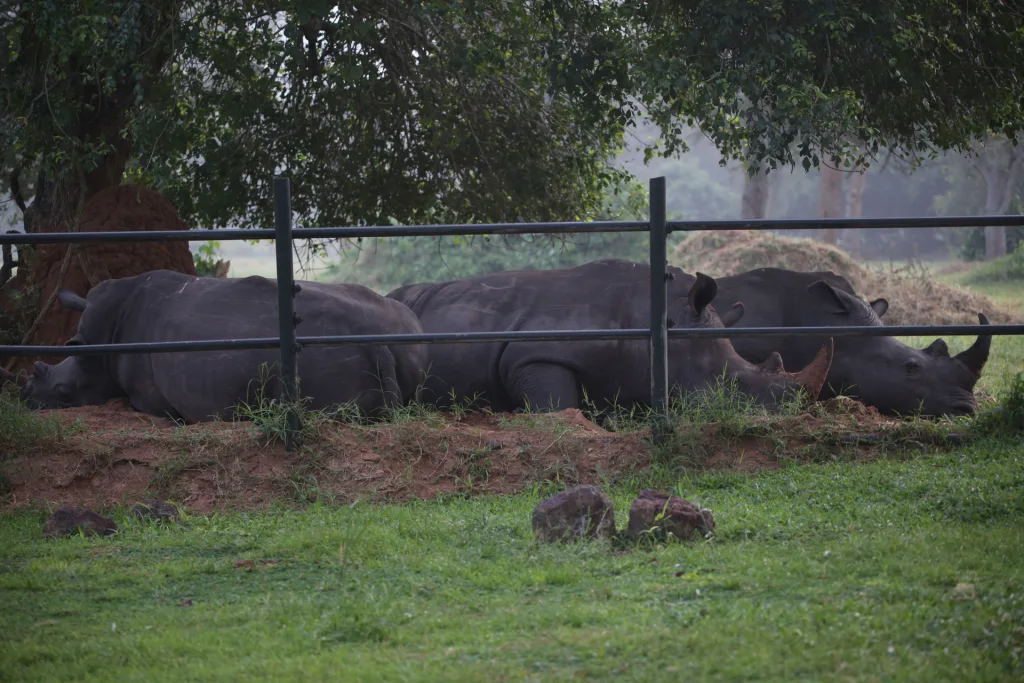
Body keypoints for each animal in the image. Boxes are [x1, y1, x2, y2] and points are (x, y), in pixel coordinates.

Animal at [0, 270, 427, 423]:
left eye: (62, 393)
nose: (25, 395)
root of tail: (377, 344)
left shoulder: (147, 397)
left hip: (325, 355)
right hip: (403, 334)